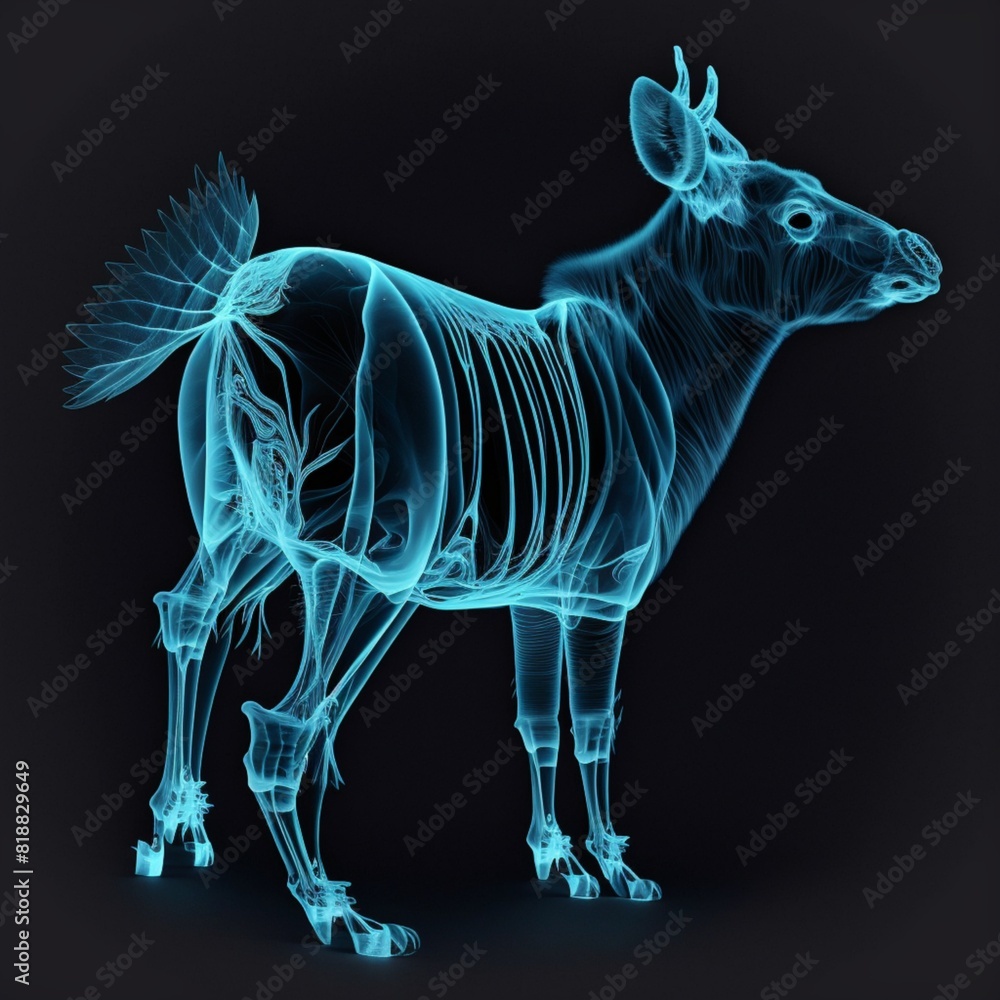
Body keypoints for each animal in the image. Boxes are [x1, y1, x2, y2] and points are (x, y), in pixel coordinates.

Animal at [64, 47, 941, 956]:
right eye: (800, 217)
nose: (922, 255)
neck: (664, 373)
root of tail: (248, 301)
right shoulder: (603, 588)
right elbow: (593, 725)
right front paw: (620, 873)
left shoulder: (537, 593)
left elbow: (539, 723)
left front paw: (561, 866)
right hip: (361, 560)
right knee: (286, 725)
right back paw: (342, 915)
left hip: (244, 522)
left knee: (192, 618)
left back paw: (173, 838)